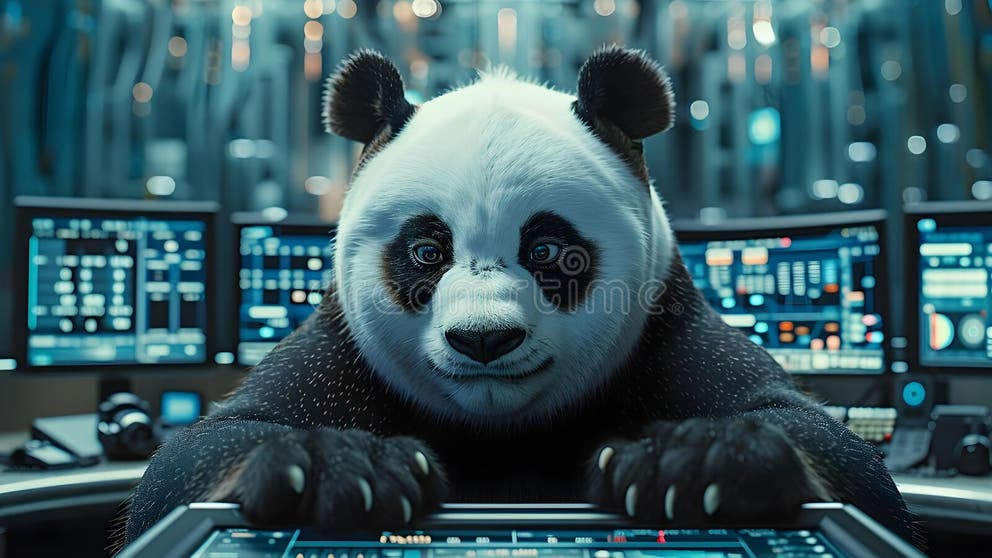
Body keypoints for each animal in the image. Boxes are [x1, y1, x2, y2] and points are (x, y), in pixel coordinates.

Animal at [124, 46, 914, 546]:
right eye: (426, 251)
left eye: (548, 253)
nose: (484, 340)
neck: (502, 427)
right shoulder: (341, 348)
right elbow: (202, 451)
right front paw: (338, 469)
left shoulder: (665, 328)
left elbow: (829, 449)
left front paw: (698, 462)